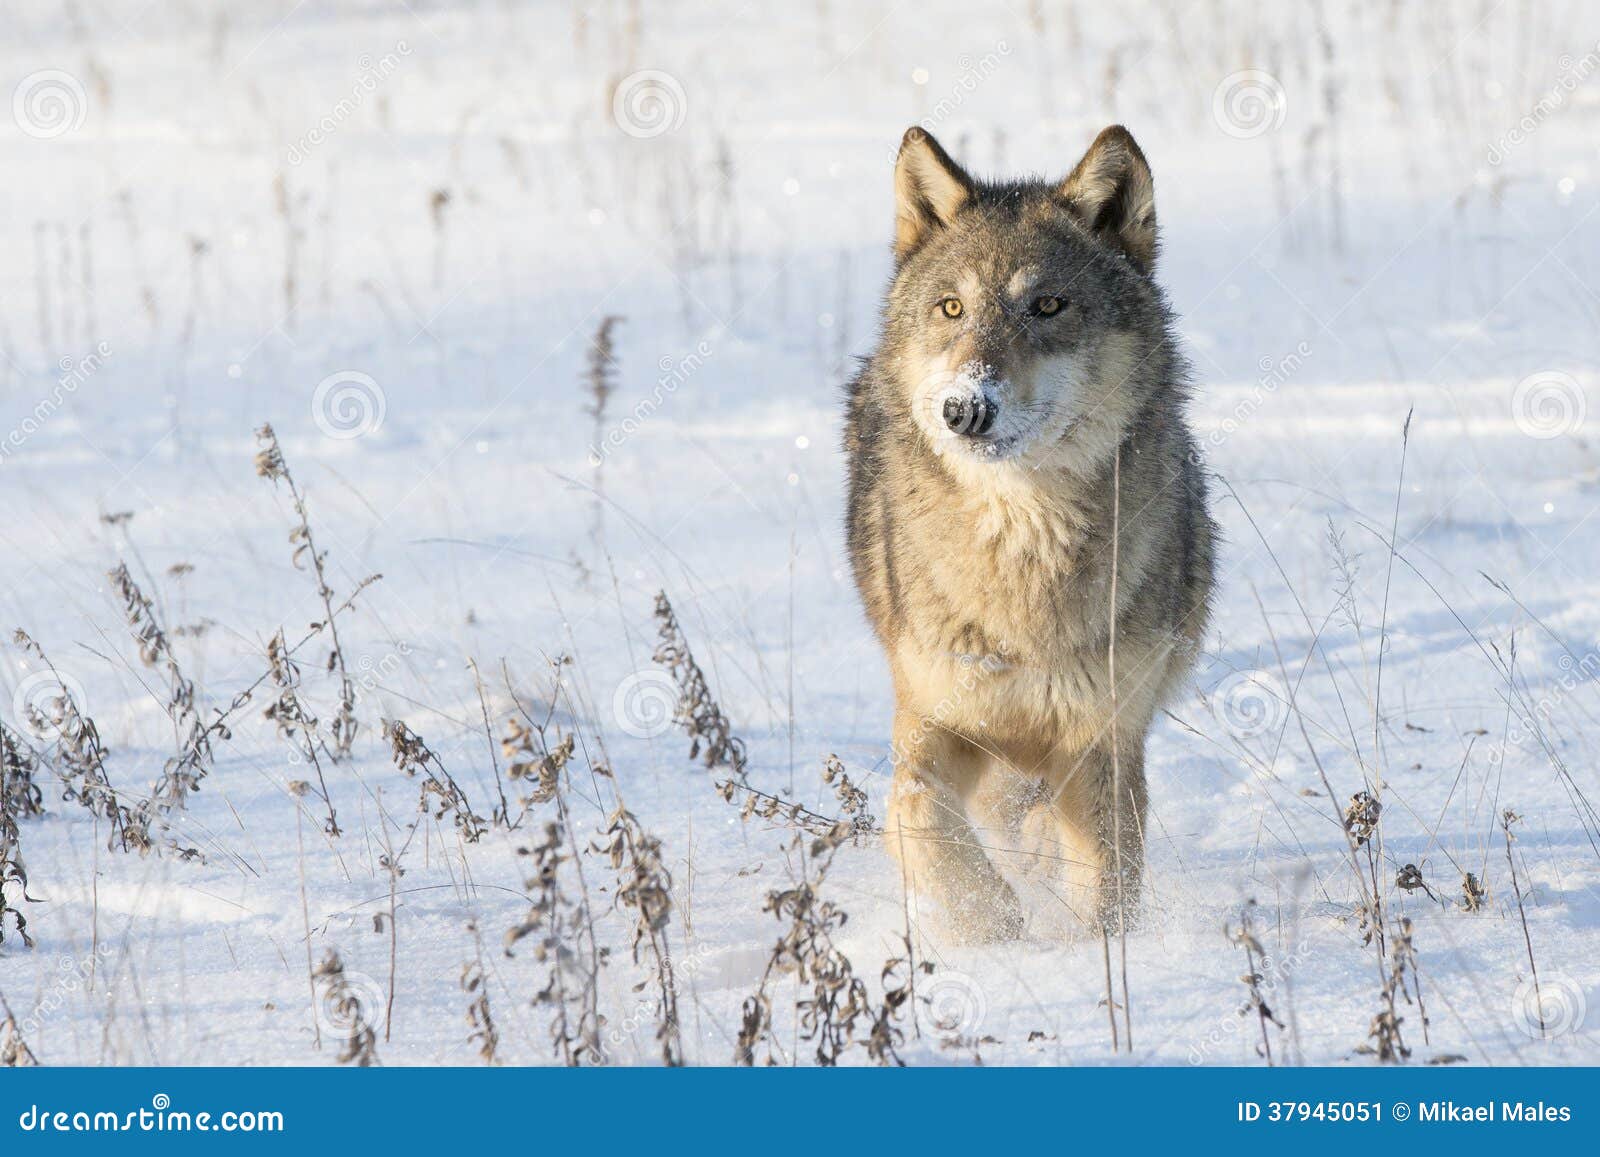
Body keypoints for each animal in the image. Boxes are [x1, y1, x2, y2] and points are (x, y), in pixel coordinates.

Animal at [844, 125, 1215, 941]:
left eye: (1047, 305)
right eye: (952, 307)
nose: (965, 408)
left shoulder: (1102, 740)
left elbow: (1105, 881)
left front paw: (1084, 951)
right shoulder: (932, 718)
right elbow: (915, 814)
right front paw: (991, 926)